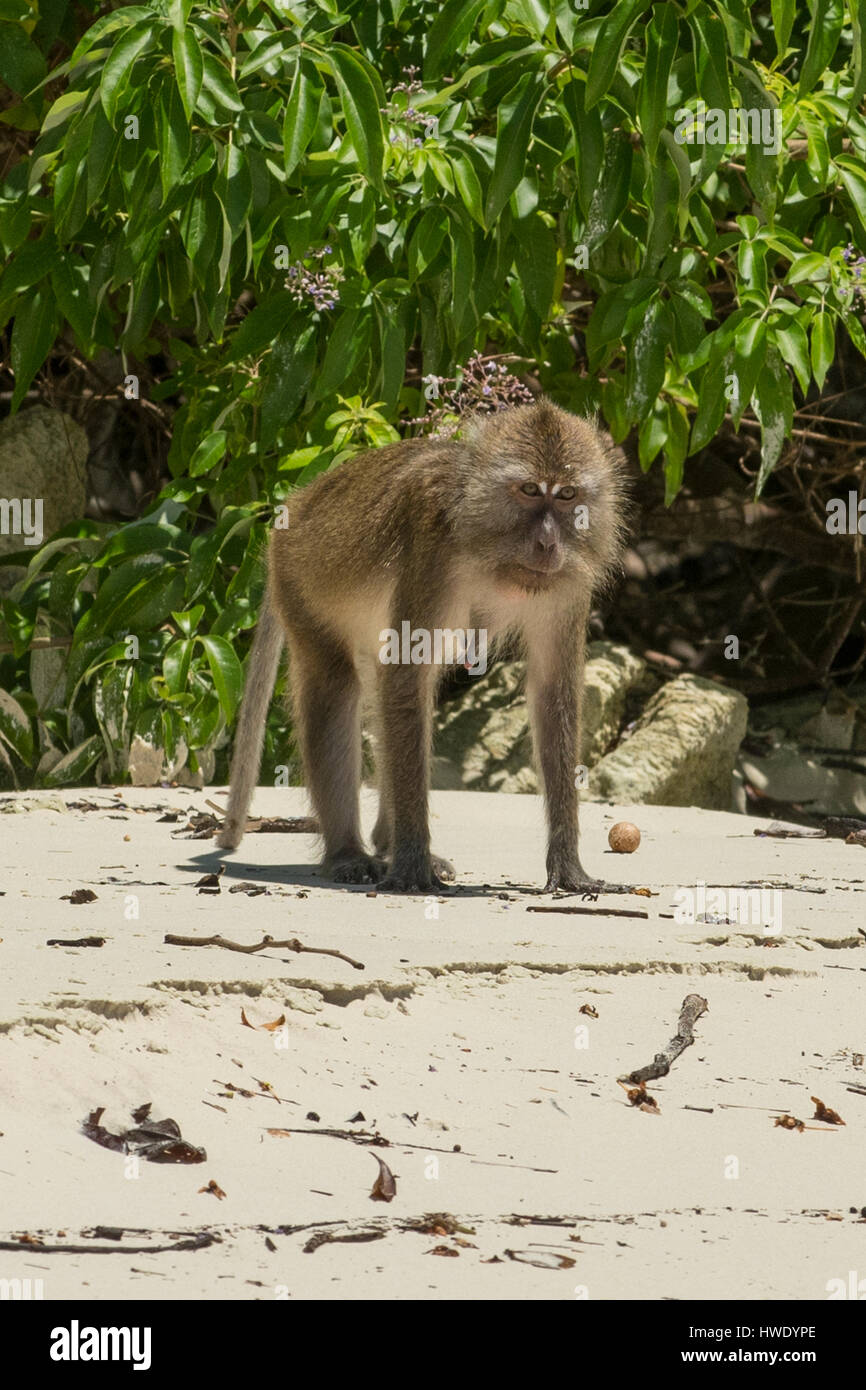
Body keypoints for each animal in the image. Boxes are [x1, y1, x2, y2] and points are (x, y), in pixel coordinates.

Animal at [217, 398, 629, 894]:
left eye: (567, 496)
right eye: (530, 490)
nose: (548, 542)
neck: (489, 553)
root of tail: (295, 506)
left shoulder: (568, 582)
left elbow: (553, 694)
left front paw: (567, 865)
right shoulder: (430, 546)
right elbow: (405, 676)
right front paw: (412, 865)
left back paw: (385, 840)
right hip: (298, 579)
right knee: (338, 686)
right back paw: (350, 853)